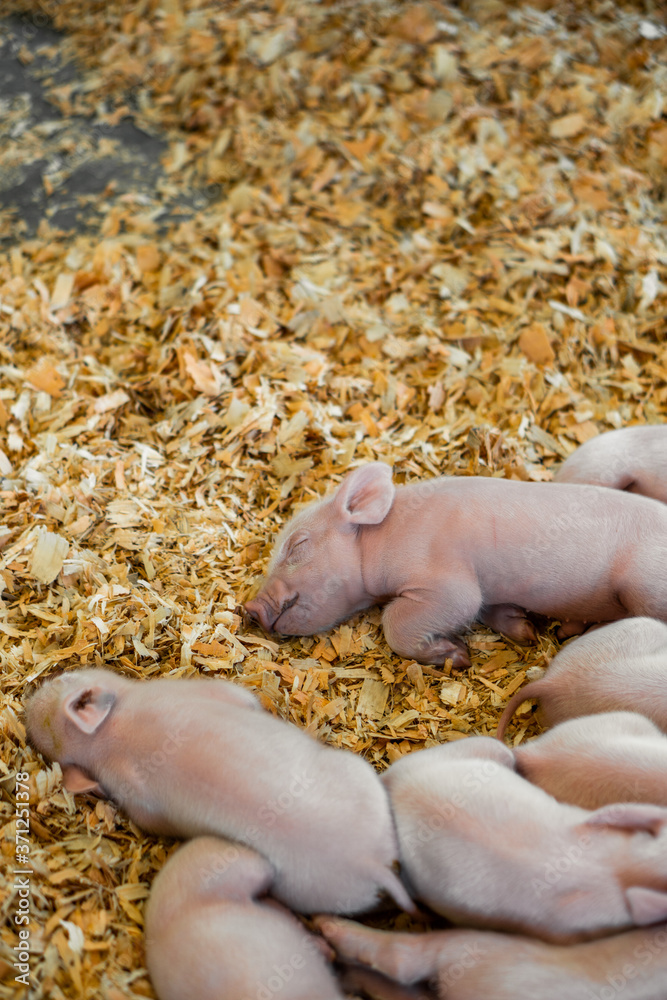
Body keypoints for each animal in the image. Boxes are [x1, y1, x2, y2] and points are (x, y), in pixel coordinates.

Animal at [24, 668, 414, 916]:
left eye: (62, 678)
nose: (36, 690)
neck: (108, 740)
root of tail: (367, 860)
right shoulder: (207, 691)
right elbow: (242, 697)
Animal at [244, 462, 667, 667]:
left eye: (298, 545)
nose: (250, 608)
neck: (383, 538)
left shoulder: (446, 580)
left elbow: (399, 621)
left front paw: (458, 656)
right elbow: (493, 610)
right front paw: (525, 631)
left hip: (644, 584)